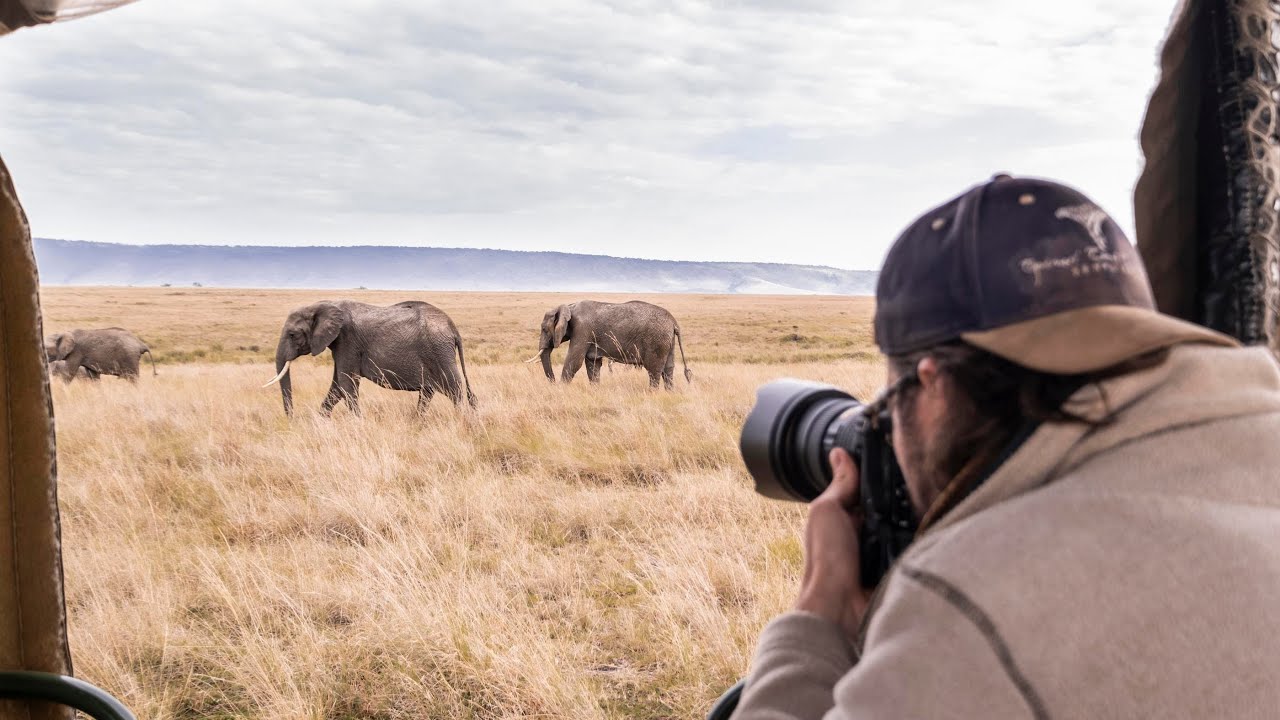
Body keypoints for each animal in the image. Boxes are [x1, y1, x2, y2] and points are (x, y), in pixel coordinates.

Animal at [264, 299, 477, 416]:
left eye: (292, 335)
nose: (291, 420)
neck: (322, 304)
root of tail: (452, 327)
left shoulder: (347, 341)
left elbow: (346, 383)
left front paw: (358, 423)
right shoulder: (341, 345)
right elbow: (337, 386)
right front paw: (321, 423)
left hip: (439, 351)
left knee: (455, 389)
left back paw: (461, 420)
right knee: (428, 392)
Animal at [531, 300, 691, 389]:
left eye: (544, 329)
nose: (552, 384)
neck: (570, 306)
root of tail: (674, 323)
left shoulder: (582, 330)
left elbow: (574, 361)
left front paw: (561, 390)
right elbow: (593, 364)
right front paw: (595, 391)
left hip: (656, 341)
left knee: (654, 369)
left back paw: (652, 393)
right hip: (668, 341)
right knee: (668, 369)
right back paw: (669, 393)